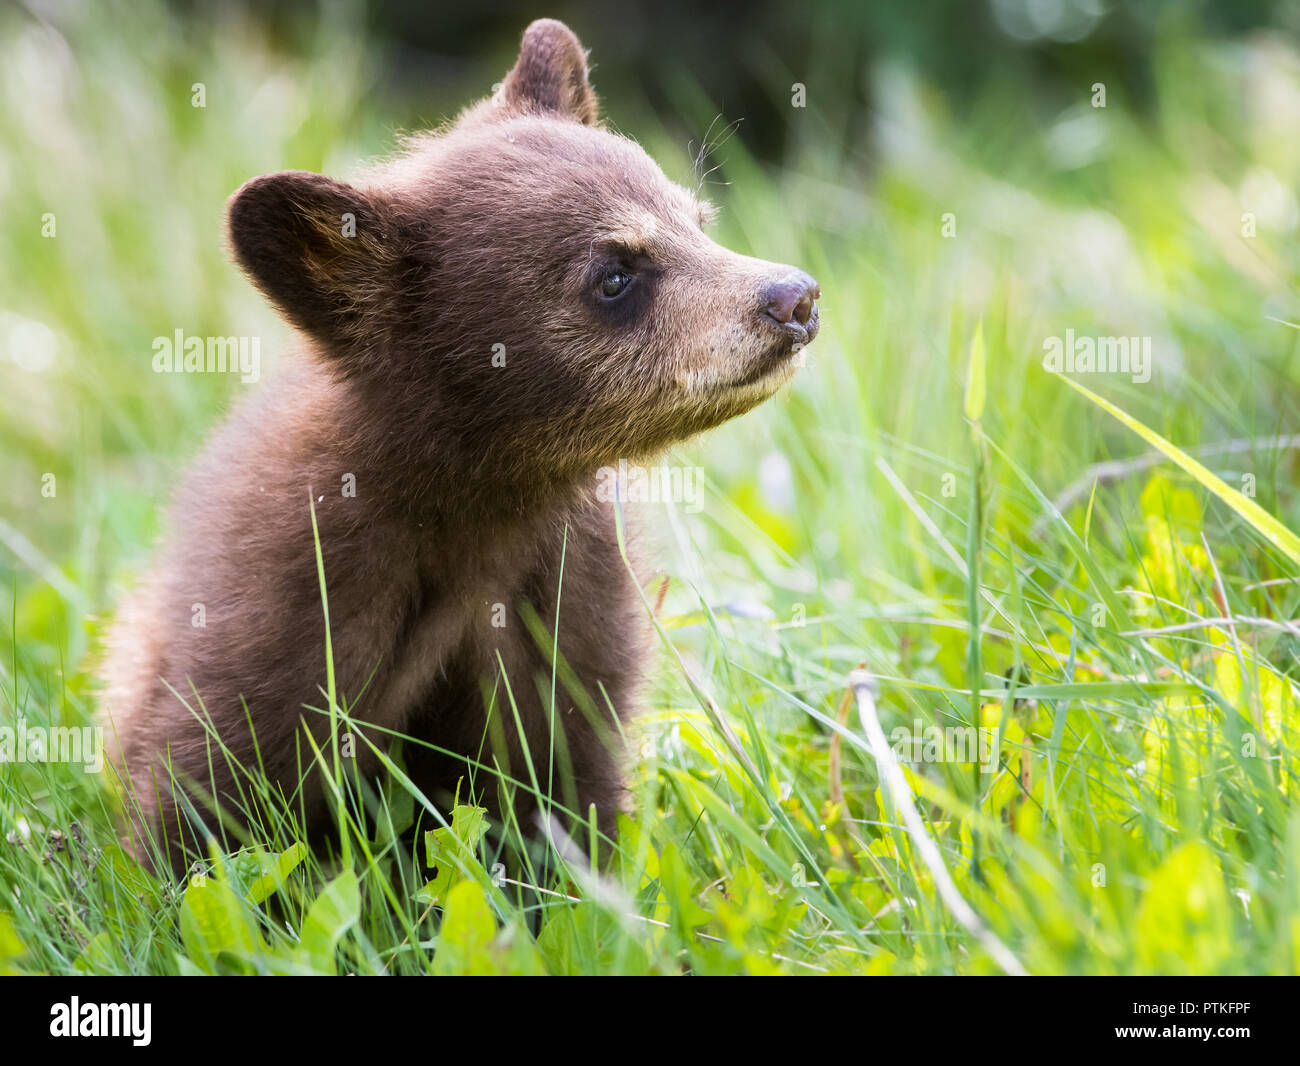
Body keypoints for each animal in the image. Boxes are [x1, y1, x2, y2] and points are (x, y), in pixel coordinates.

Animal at [100, 18, 820, 876]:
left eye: (699, 221)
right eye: (613, 274)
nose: (795, 297)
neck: (481, 509)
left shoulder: (566, 598)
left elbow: (568, 778)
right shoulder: (289, 598)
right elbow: (211, 796)